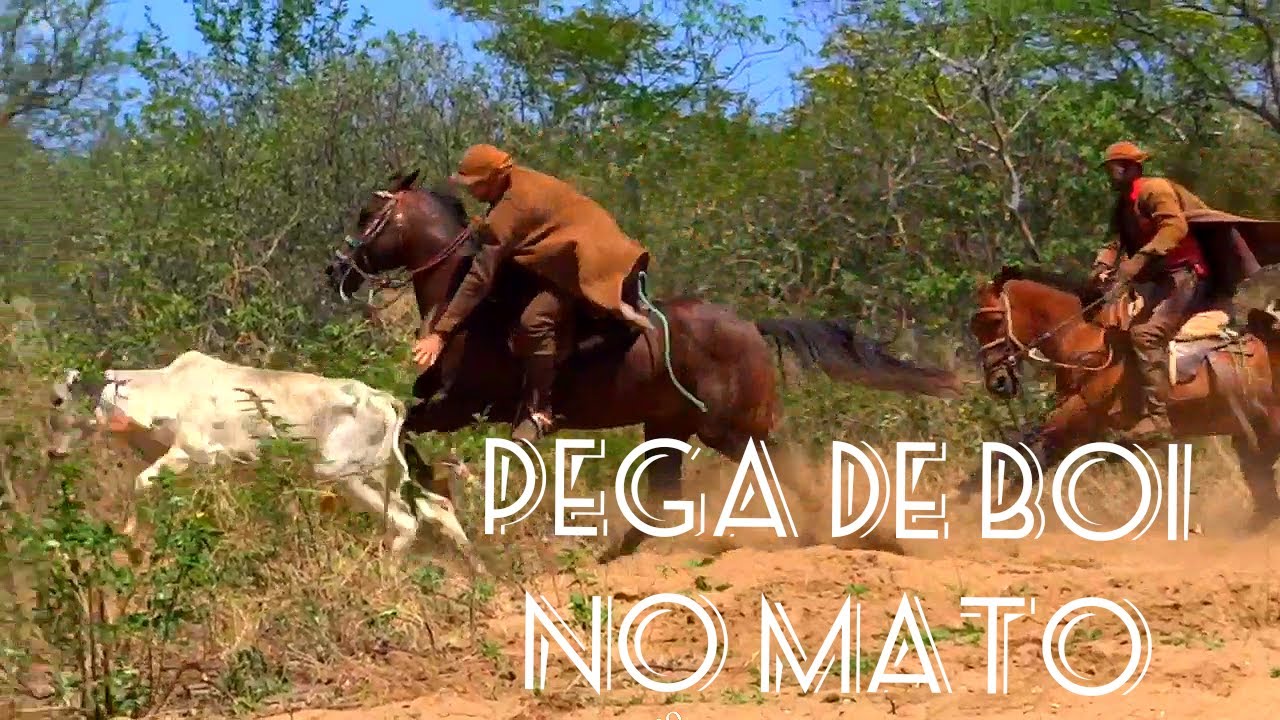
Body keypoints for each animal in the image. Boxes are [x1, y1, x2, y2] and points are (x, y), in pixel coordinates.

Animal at [45, 350, 480, 572]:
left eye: (58, 401)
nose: (52, 452)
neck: (169, 391)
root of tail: (384, 399)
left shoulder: (193, 454)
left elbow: (138, 485)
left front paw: (128, 533)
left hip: (345, 473)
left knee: (410, 519)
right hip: (382, 473)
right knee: (434, 508)